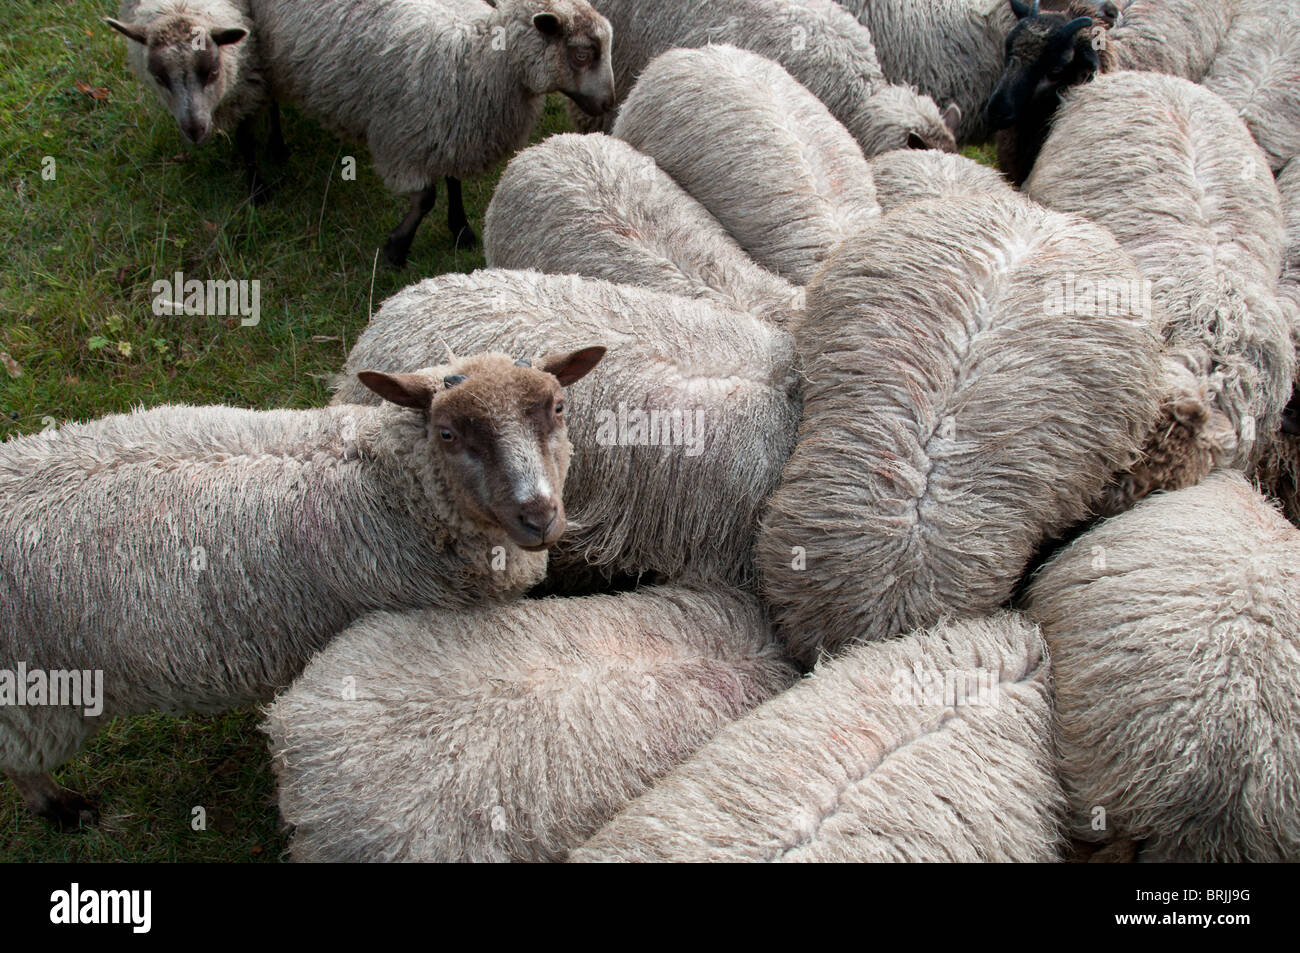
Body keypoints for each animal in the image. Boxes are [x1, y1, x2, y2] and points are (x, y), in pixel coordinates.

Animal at [0, 347, 604, 830]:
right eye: (449, 433)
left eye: (557, 408)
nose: (539, 516)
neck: (387, 484)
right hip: (29, 699)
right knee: (21, 764)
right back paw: (63, 809)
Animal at [106, 0, 274, 201]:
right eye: (159, 78)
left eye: (213, 72)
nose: (195, 131)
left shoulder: (250, 93)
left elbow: (245, 139)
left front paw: (258, 190)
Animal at [246, 0, 615, 266]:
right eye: (582, 53)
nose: (608, 102)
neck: (481, 60)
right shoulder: (403, 140)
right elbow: (425, 198)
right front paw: (395, 249)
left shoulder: (450, 127)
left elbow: (452, 179)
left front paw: (461, 228)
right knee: (266, 103)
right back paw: (273, 150)